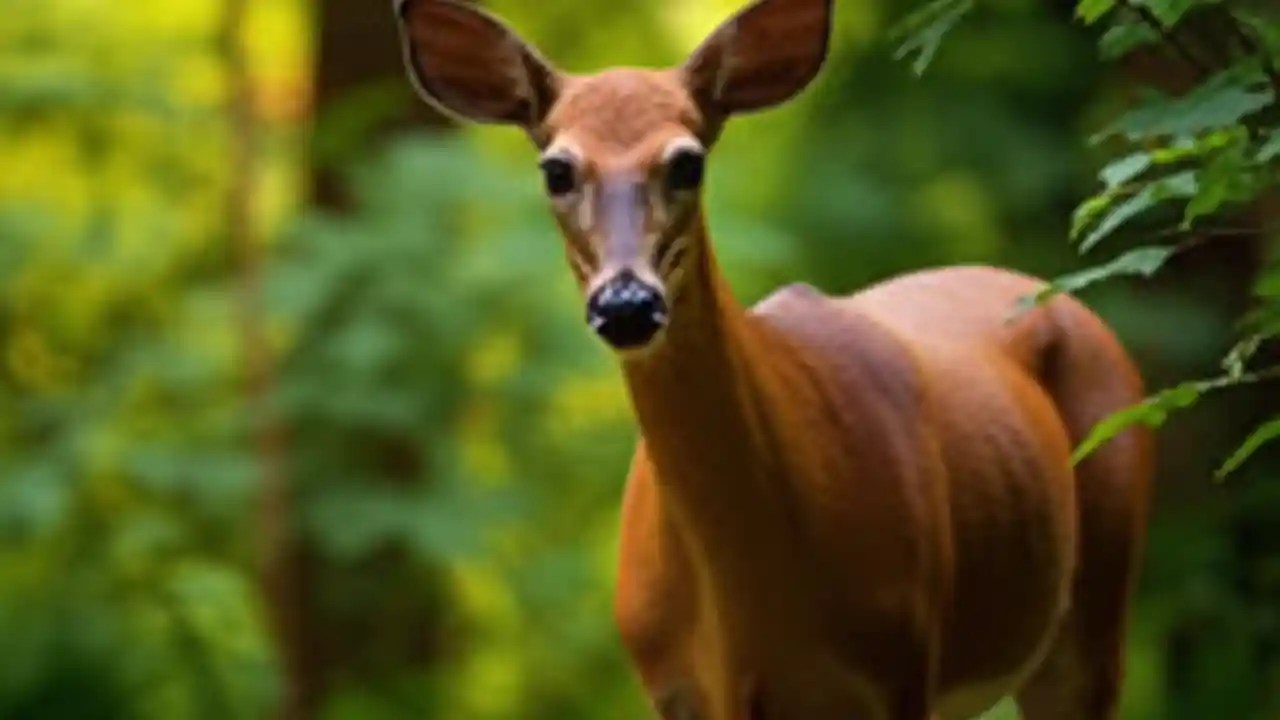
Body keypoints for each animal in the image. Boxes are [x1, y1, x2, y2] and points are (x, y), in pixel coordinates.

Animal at [394, 0, 1154, 717]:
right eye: (556, 170)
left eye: (688, 162)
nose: (628, 303)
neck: (747, 606)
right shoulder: (677, 689)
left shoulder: (904, 660)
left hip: (1095, 599)